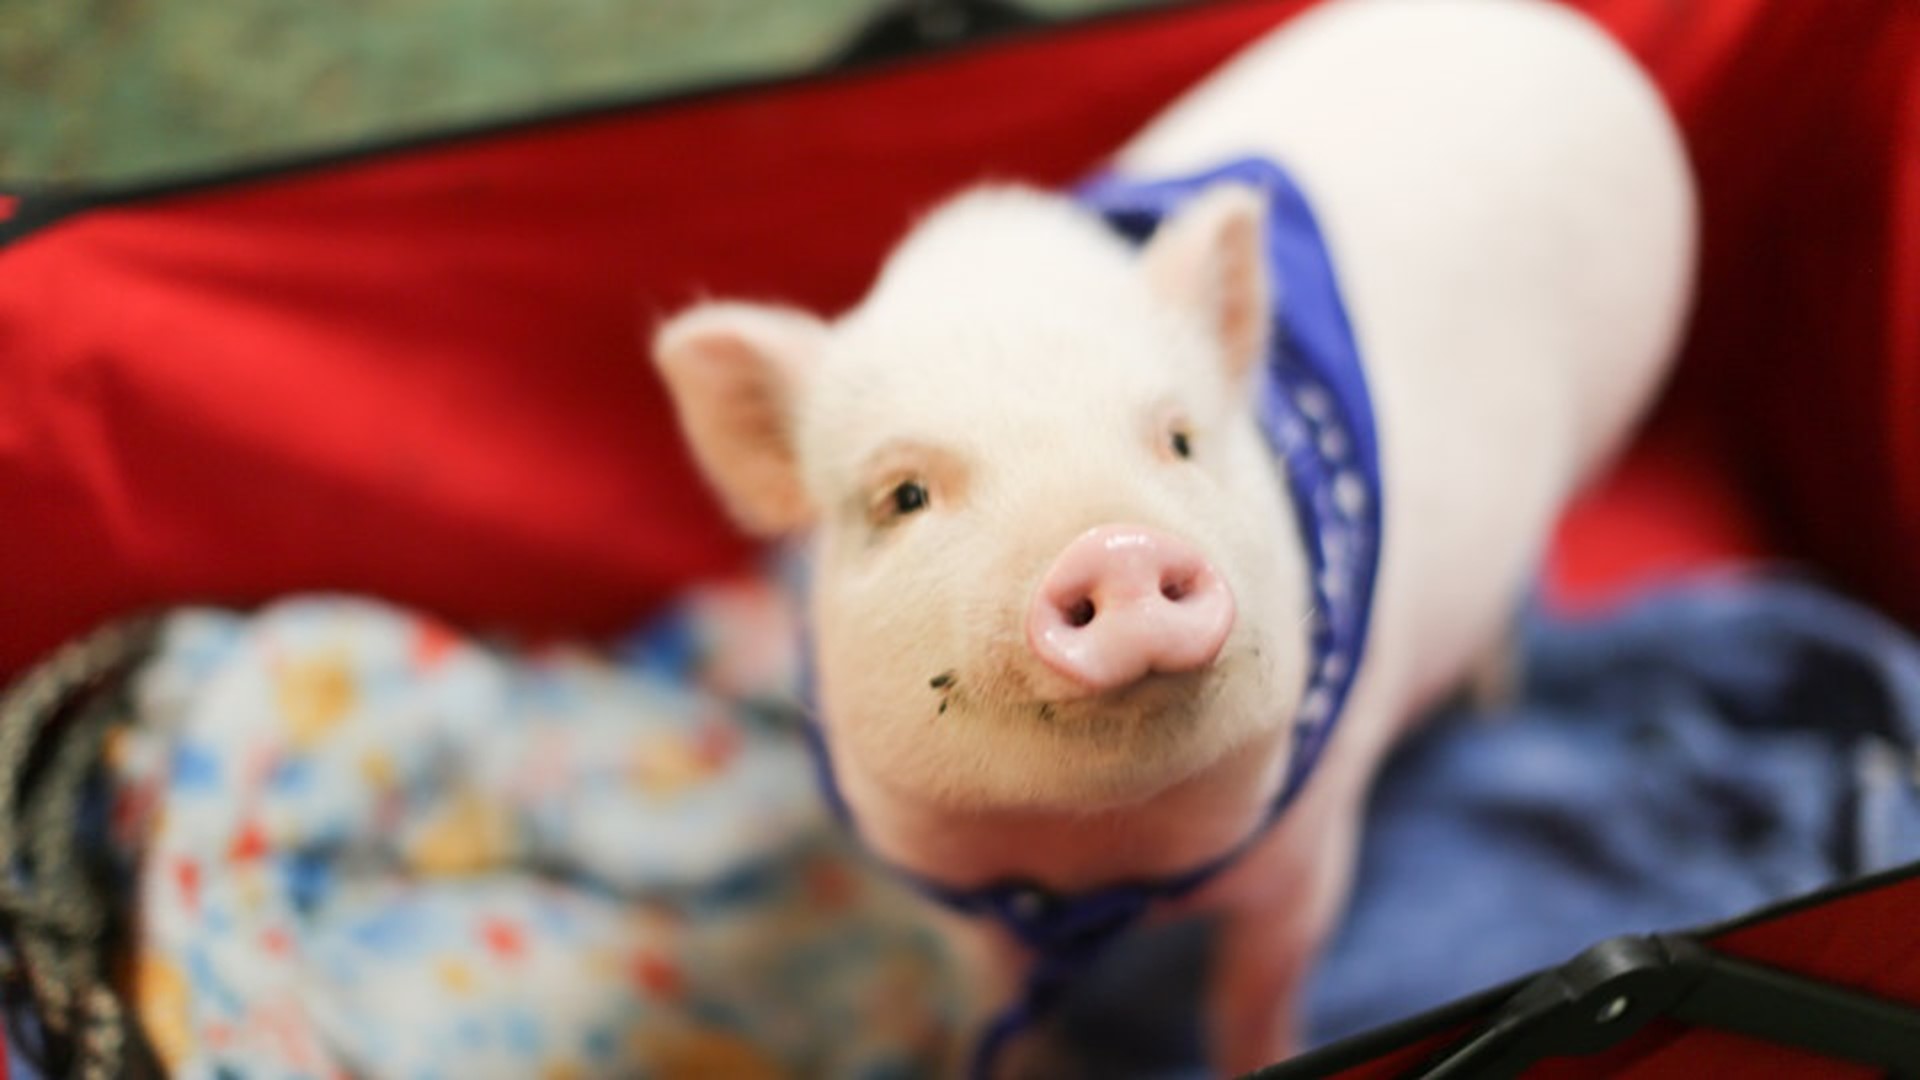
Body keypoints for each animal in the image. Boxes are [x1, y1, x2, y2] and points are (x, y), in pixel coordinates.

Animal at [649, 0, 1696, 1072]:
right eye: (903, 496)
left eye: (1181, 439)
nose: (1117, 546)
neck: (1104, 863)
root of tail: (1558, 30)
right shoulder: (938, 876)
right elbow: (996, 1007)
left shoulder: (1308, 847)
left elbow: (1257, 992)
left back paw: (1494, 702)